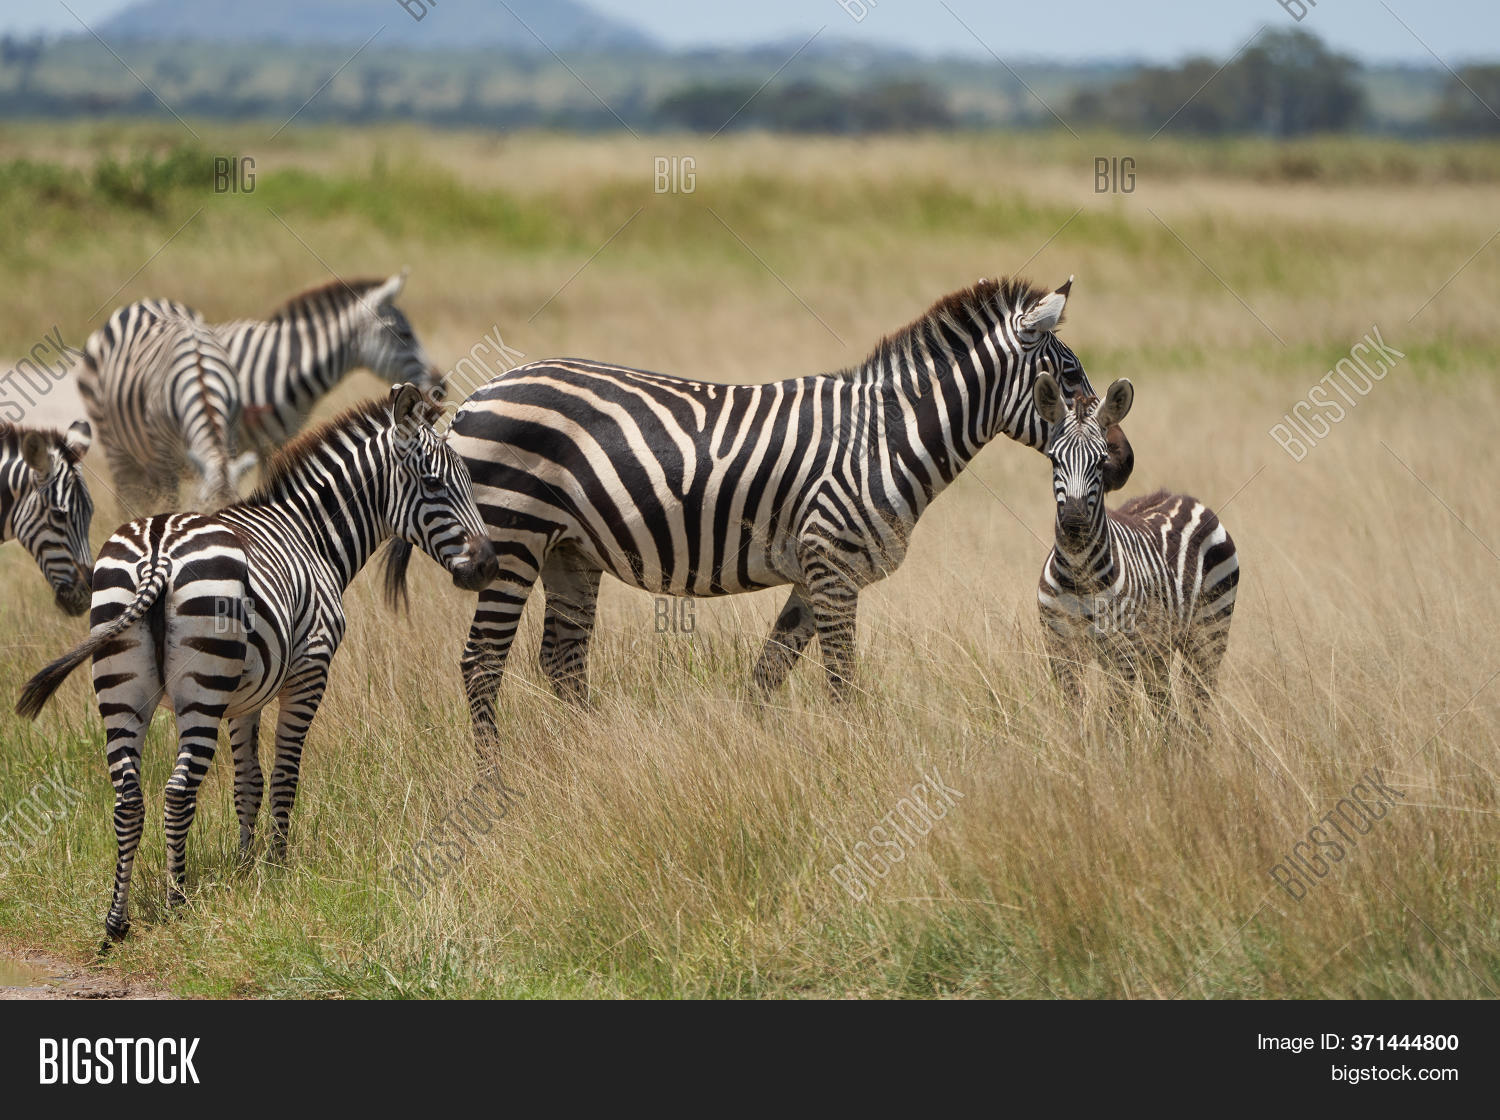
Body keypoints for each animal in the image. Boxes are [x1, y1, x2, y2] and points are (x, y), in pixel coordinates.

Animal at [16, 384, 497, 940]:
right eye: (436, 484)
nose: (489, 565)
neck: (310, 536)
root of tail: (158, 551)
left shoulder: (245, 699)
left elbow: (249, 781)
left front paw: (244, 868)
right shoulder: (308, 673)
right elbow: (285, 774)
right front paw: (276, 866)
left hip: (121, 686)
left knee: (128, 797)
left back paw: (118, 920)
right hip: (201, 692)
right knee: (177, 791)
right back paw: (177, 902)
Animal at [79, 299, 255, 511]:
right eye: (206, 512)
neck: (202, 381)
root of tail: (142, 303)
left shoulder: (231, 437)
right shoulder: (163, 452)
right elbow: (172, 501)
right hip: (113, 441)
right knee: (127, 493)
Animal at [393, 275, 1133, 748]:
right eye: (1069, 379)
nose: (1123, 463)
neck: (886, 438)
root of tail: (477, 394)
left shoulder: (816, 571)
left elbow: (768, 673)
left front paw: (751, 753)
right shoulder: (832, 562)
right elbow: (840, 680)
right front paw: (852, 759)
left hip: (568, 551)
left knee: (562, 664)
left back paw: (588, 757)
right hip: (513, 537)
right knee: (482, 663)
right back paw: (493, 778)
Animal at [1034, 373, 1238, 721]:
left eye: (1101, 460)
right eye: (1053, 458)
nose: (1074, 521)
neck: (1078, 572)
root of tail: (1182, 497)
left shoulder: (1121, 654)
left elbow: (1116, 721)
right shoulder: (1060, 650)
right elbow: (1075, 718)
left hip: (1209, 633)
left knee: (1198, 710)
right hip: (1159, 649)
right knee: (1167, 711)